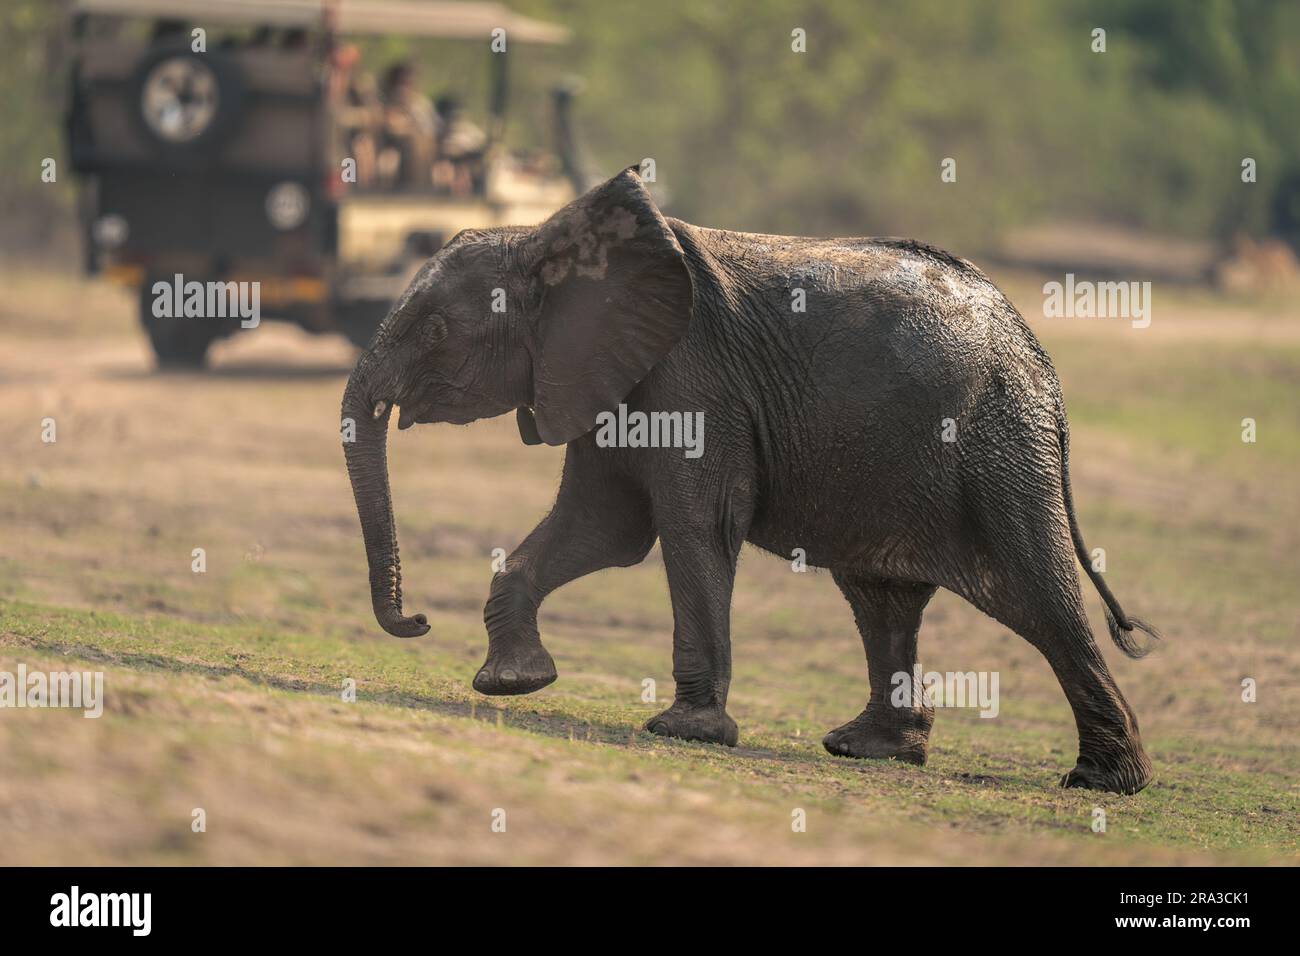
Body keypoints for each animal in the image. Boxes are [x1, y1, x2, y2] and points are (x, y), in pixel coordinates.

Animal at [341, 165, 1160, 794]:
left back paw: (1103, 783)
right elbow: (600, 528)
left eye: (436, 332)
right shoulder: (607, 373)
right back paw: (867, 748)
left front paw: (684, 733)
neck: (548, 242)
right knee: (883, 602)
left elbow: (689, 529)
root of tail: (1039, 359)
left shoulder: (691, 380)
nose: (418, 621)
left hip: (997, 448)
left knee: (1036, 596)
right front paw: (512, 684)